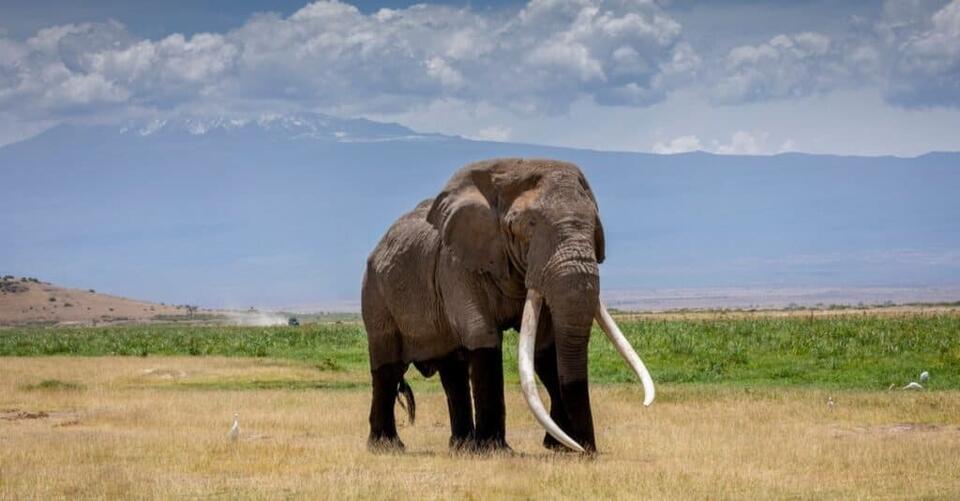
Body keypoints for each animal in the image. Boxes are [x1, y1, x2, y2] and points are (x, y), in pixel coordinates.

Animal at [361, 158, 654, 454]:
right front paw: (494, 451)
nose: (588, 451)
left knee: (452, 369)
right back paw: (387, 446)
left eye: (594, 226)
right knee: (388, 369)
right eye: (528, 225)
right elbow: (482, 334)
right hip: (375, 294)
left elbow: (546, 348)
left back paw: (461, 446)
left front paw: (563, 448)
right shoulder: (456, 265)